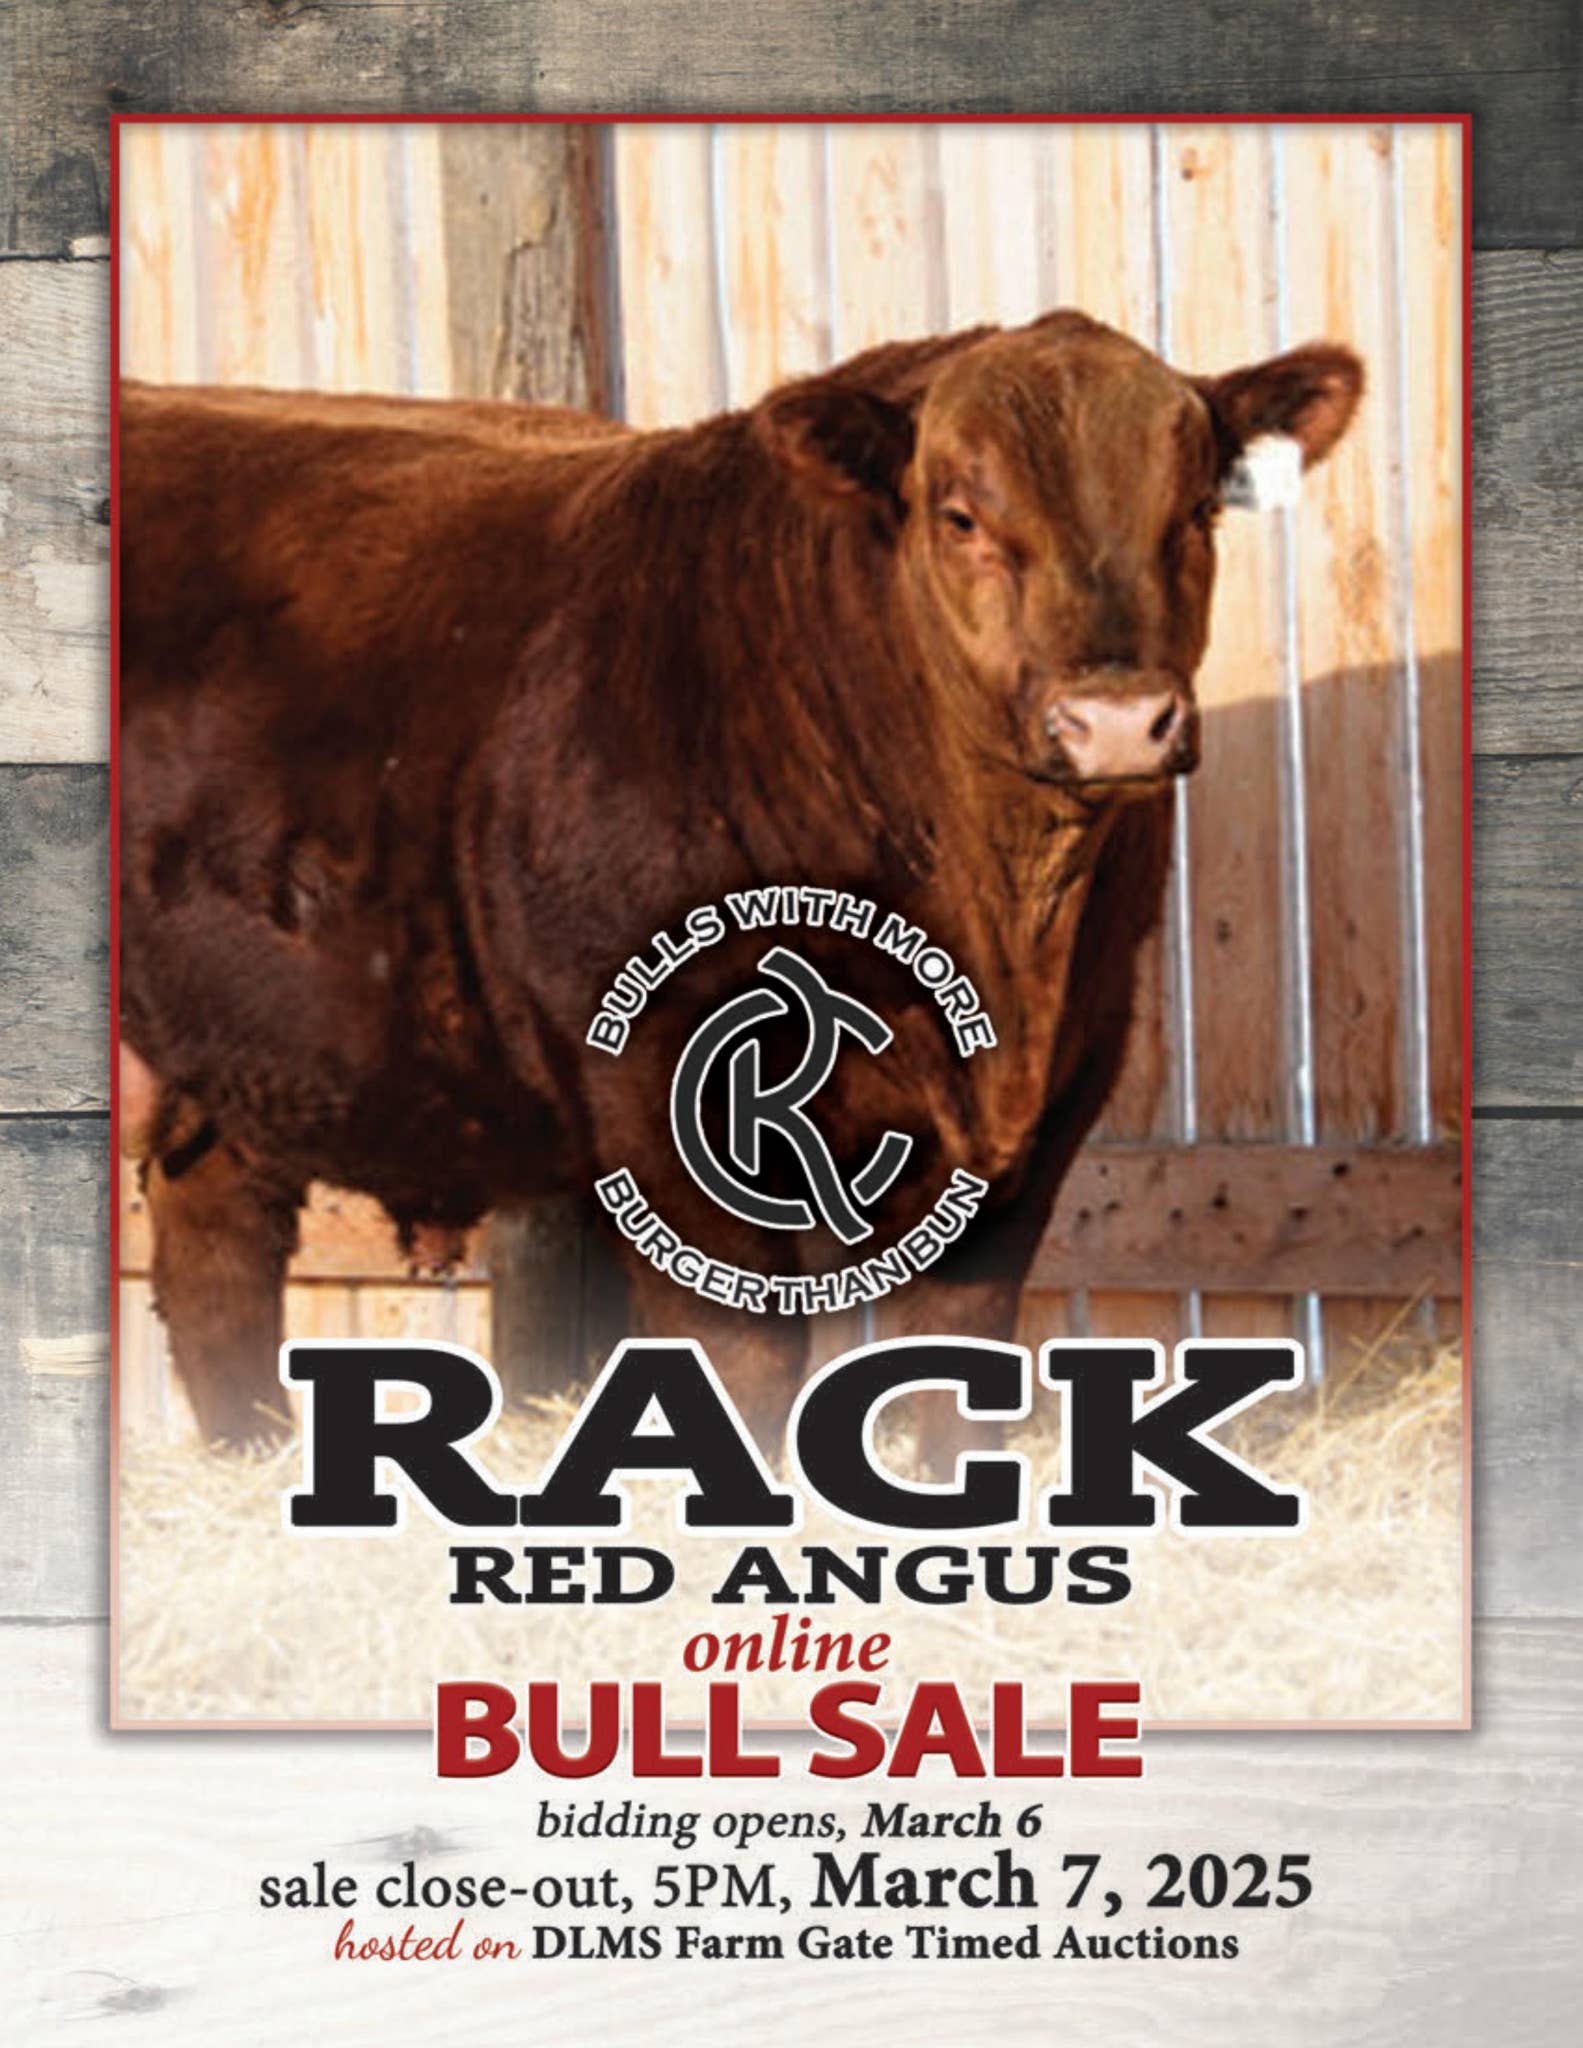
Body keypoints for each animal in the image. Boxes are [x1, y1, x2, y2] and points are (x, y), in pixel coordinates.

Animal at [118, 311, 1362, 1453]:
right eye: (959, 513)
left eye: (1194, 510)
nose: (1113, 720)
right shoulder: (657, 1077)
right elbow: (744, 1350)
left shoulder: (1062, 1086)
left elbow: (957, 1351)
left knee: (214, 1226)